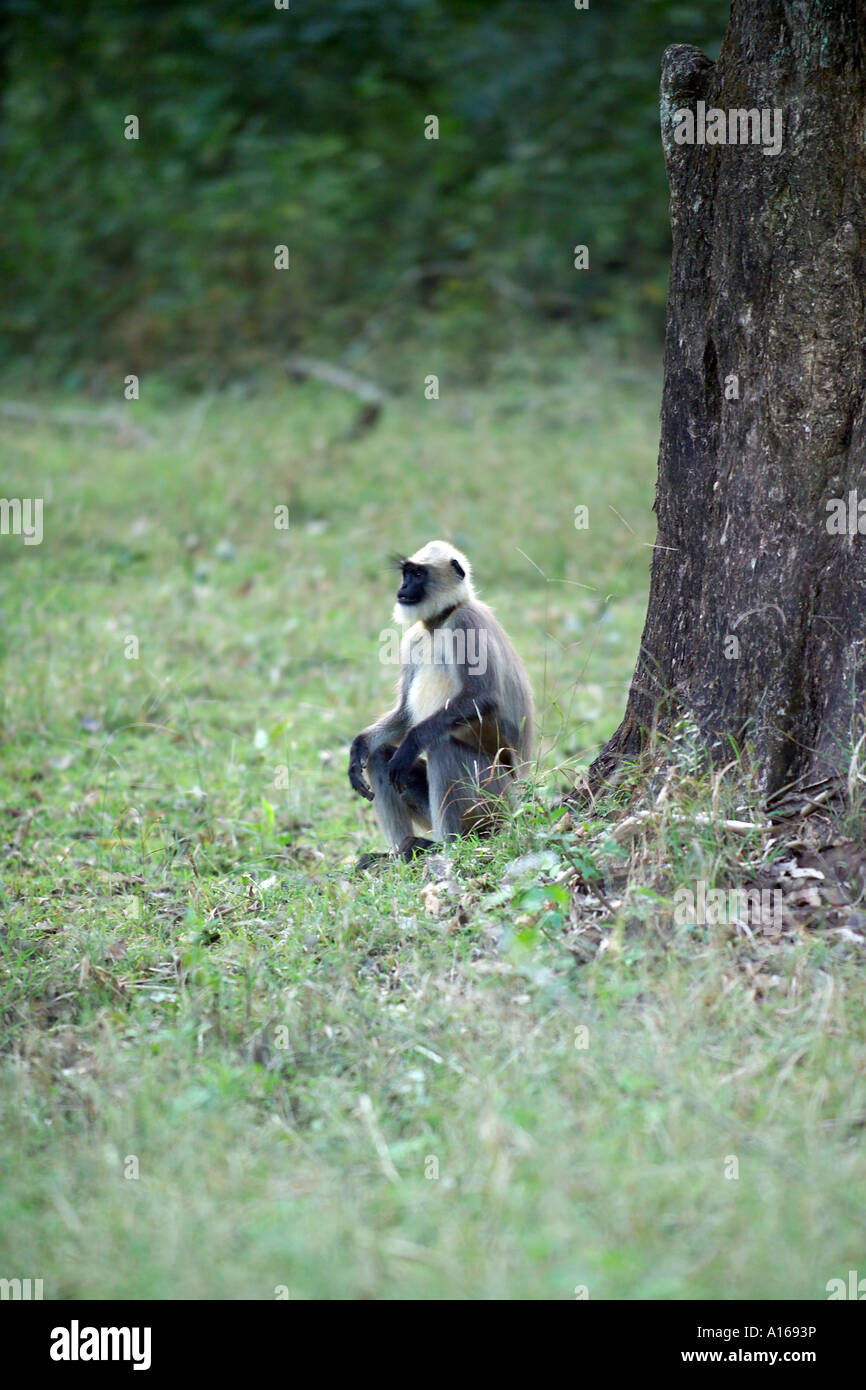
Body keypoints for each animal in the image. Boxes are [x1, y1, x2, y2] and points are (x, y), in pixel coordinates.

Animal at [348, 540, 534, 862]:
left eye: (418, 574)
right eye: (406, 573)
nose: (403, 588)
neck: (440, 621)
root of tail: (518, 798)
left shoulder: (466, 623)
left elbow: (481, 697)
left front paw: (411, 742)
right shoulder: (412, 639)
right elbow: (404, 715)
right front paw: (358, 746)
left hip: (495, 795)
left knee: (442, 746)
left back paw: (447, 845)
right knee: (381, 755)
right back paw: (399, 851)